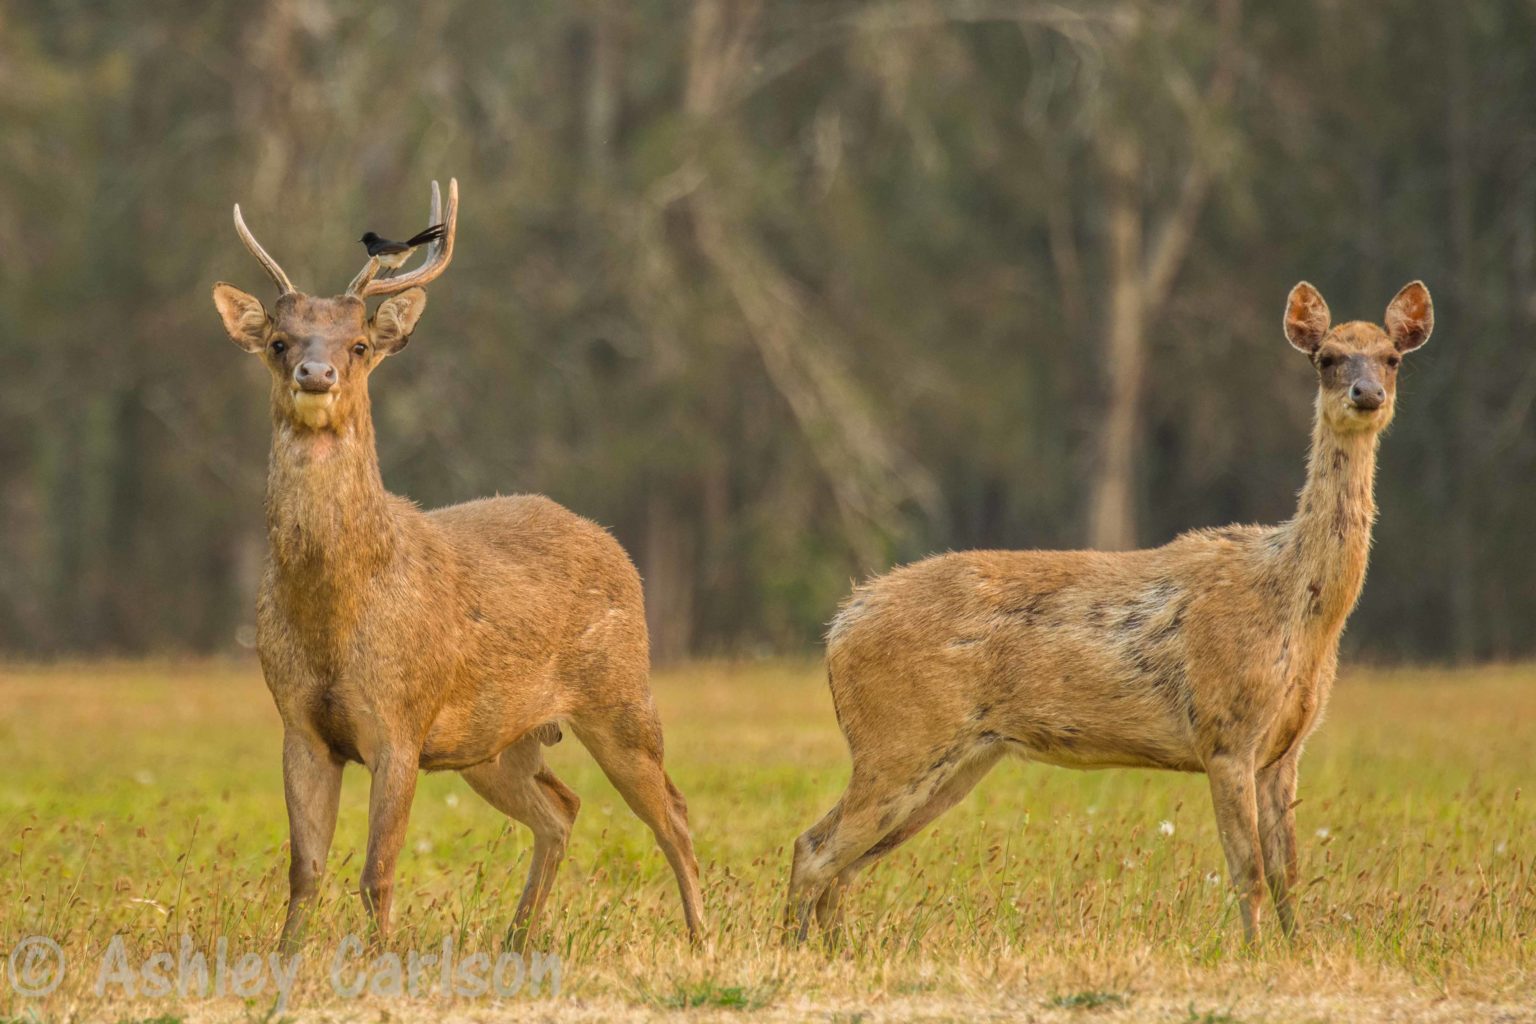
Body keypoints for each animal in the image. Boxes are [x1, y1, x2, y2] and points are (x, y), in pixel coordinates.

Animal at [210, 180, 705, 953]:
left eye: (359, 344)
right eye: (278, 341)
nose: (316, 373)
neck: (335, 613)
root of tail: (614, 545)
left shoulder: (401, 720)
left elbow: (377, 871)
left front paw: (381, 962)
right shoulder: (298, 722)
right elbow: (305, 871)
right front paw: (284, 961)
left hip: (621, 694)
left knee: (673, 813)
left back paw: (701, 939)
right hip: (495, 742)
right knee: (562, 807)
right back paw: (516, 939)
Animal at [787, 281, 1434, 946]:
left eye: (1391, 358)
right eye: (1327, 358)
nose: (1367, 394)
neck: (1301, 611)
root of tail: (842, 625)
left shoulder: (1286, 749)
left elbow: (1288, 878)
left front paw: (1295, 951)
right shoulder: (1225, 734)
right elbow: (1249, 875)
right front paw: (1253, 956)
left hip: (957, 756)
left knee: (843, 863)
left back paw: (832, 950)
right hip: (900, 737)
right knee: (815, 849)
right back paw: (796, 947)